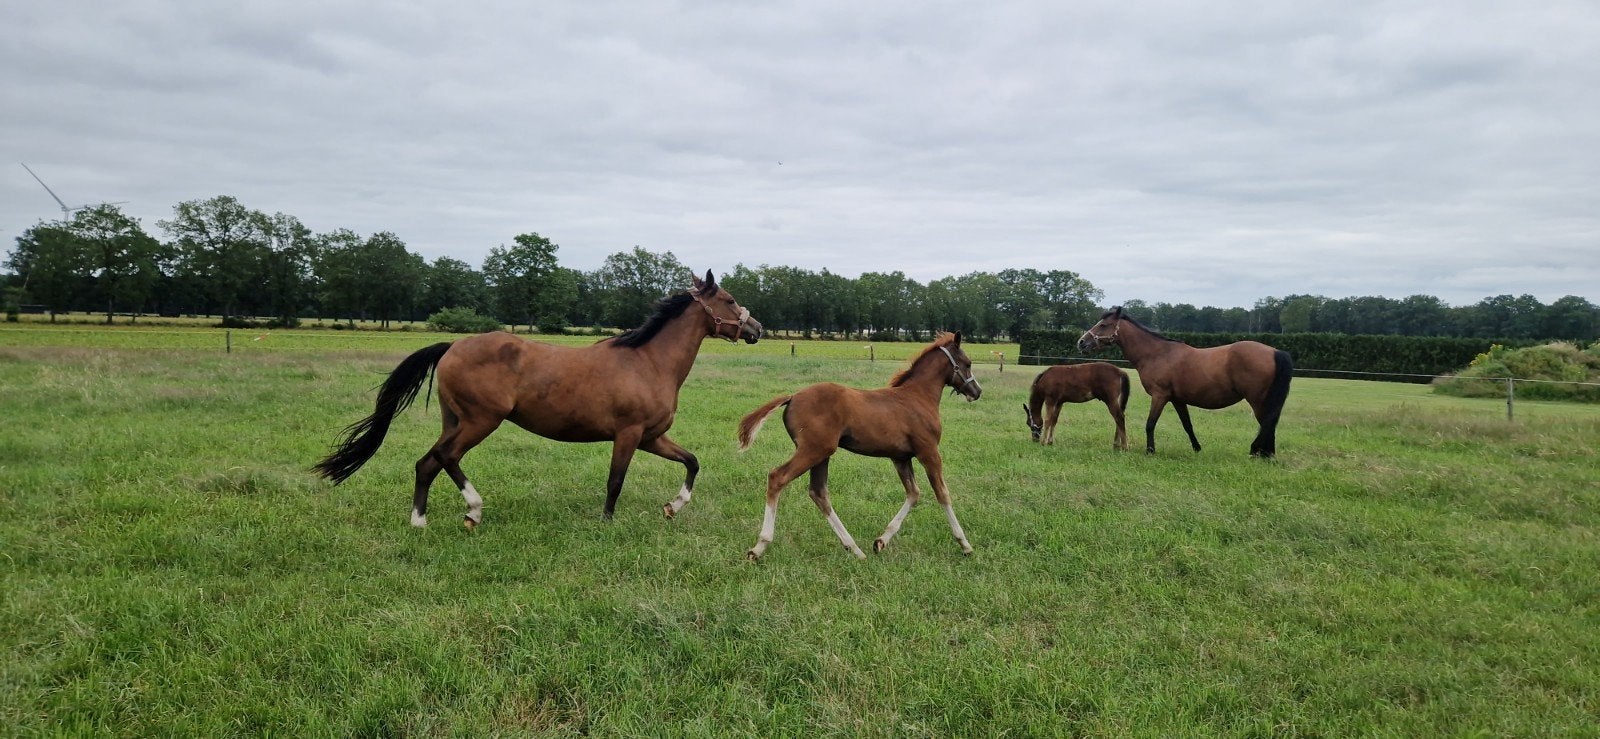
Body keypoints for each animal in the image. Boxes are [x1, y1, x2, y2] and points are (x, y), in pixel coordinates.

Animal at [313, 270, 762, 528]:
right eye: (729, 300)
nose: (756, 328)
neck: (648, 361)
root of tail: (453, 344)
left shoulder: (652, 437)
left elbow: (692, 462)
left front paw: (673, 507)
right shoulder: (629, 434)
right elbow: (615, 481)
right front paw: (607, 524)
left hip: (454, 420)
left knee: (427, 463)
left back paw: (419, 522)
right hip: (480, 421)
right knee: (445, 458)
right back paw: (473, 510)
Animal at [737, 332, 982, 560]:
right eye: (968, 363)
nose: (977, 392)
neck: (917, 397)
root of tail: (793, 397)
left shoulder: (900, 458)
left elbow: (913, 494)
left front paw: (881, 541)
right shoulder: (928, 452)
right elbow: (942, 494)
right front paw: (965, 544)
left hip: (821, 454)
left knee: (818, 492)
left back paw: (854, 549)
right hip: (814, 450)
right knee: (778, 477)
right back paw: (760, 546)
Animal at [1077, 306, 1291, 457]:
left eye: (1103, 325)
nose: (1081, 342)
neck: (1157, 354)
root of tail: (1275, 351)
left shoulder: (1160, 396)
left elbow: (1150, 423)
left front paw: (1150, 450)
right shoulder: (1177, 399)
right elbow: (1187, 425)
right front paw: (1197, 448)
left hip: (1257, 400)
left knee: (1267, 423)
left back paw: (1262, 454)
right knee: (1269, 423)